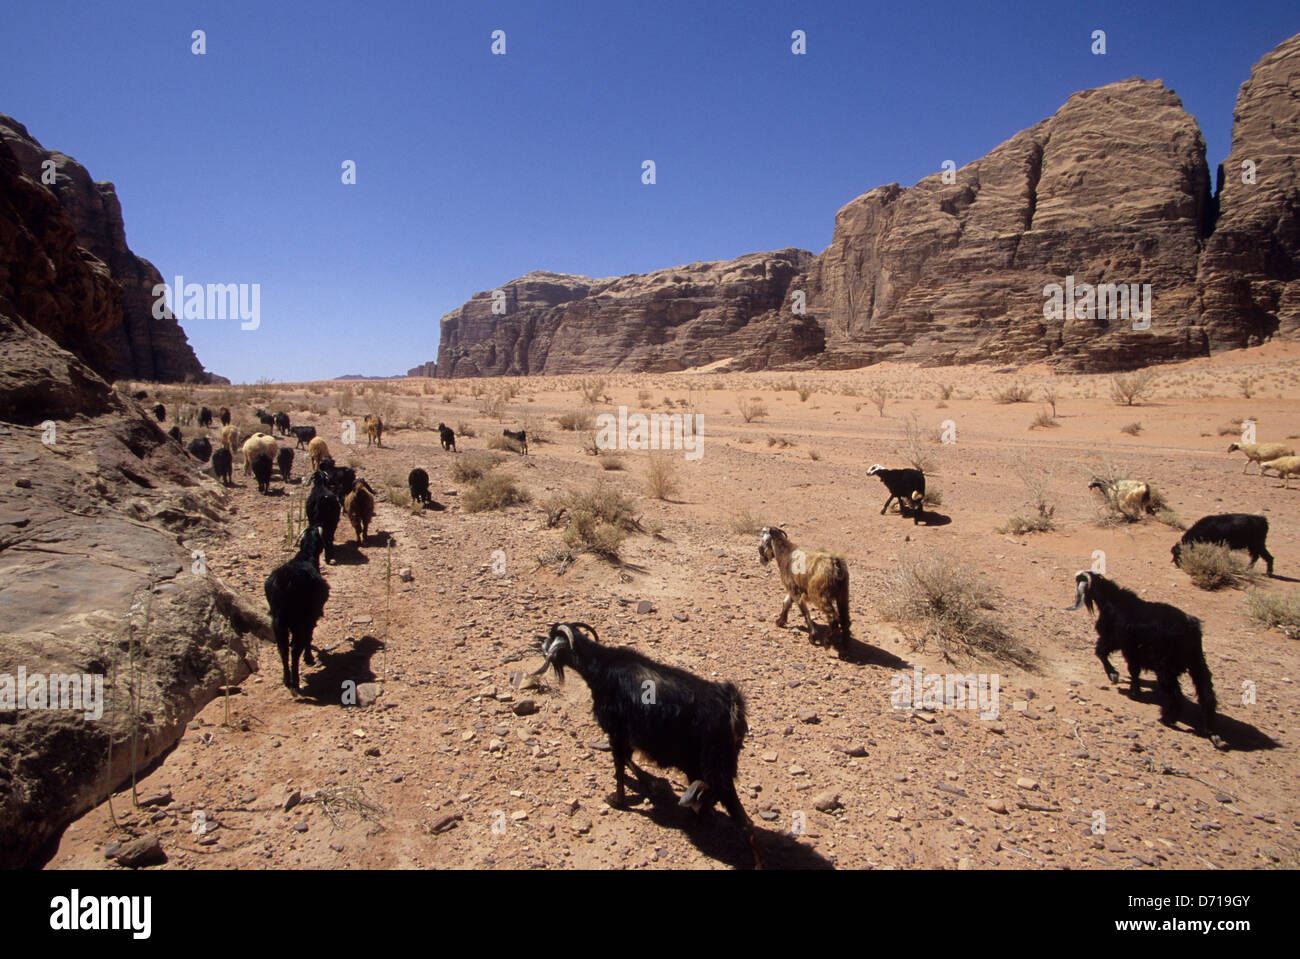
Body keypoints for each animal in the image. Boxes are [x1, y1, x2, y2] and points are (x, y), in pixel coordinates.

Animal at [264, 526, 330, 691]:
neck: (305, 557)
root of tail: (285, 579)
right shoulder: (311, 616)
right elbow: (309, 636)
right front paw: (309, 658)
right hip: (297, 620)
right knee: (294, 649)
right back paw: (296, 681)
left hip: (278, 622)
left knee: (283, 649)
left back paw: (287, 680)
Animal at [531, 622, 762, 868]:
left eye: (551, 638)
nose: (539, 642)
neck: (600, 665)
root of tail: (732, 707)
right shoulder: (631, 735)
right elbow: (628, 759)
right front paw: (652, 785)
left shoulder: (617, 729)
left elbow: (619, 763)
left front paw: (617, 800)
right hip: (704, 764)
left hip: (715, 766)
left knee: (744, 822)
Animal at [1068, 571, 1223, 748]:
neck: (1112, 599)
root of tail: (1189, 628)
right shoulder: (1125, 646)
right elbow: (1127, 667)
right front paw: (1131, 687)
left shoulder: (1120, 642)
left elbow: (1108, 656)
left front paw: (1119, 680)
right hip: (1197, 663)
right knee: (1207, 695)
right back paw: (1212, 733)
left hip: (1165, 666)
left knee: (1175, 694)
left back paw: (1167, 719)